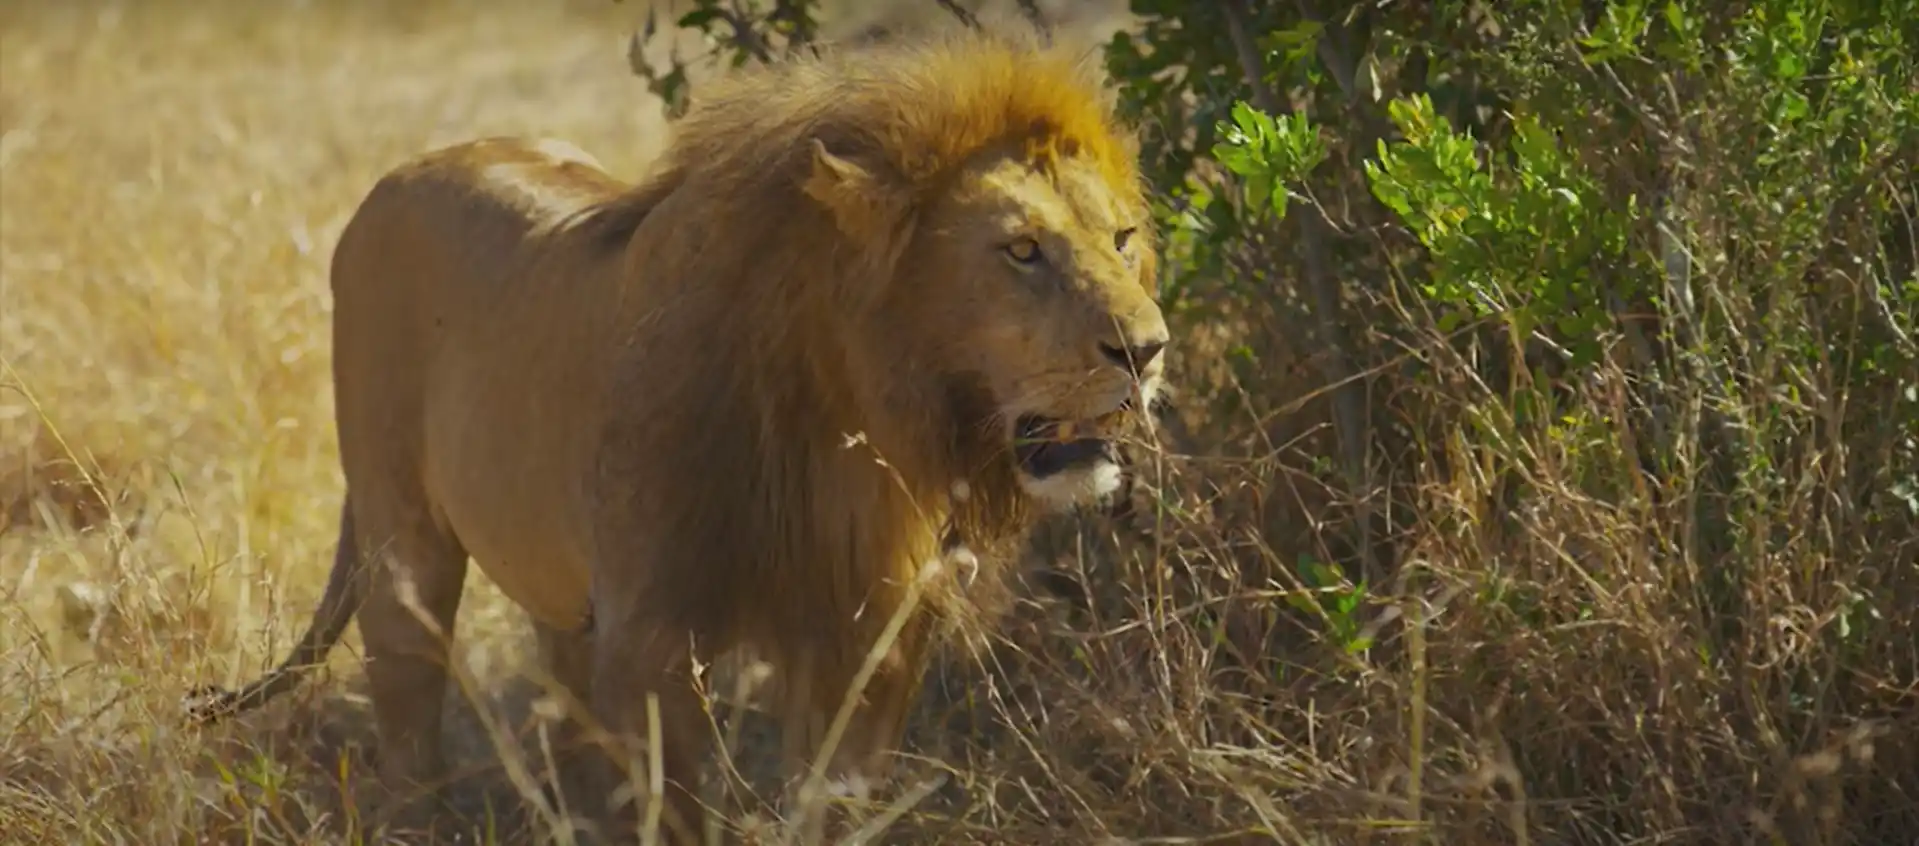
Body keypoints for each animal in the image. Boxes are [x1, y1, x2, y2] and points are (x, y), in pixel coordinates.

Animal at [186, 29, 1170, 844]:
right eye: (1020, 251)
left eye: (1122, 239)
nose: (1147, 350)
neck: (848, 415)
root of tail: (414, 166)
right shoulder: (654, 640)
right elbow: (675, 810)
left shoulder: (869, 636)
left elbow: (831, 804)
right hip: (406, 546)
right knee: (410, 736)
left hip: (558, 585)